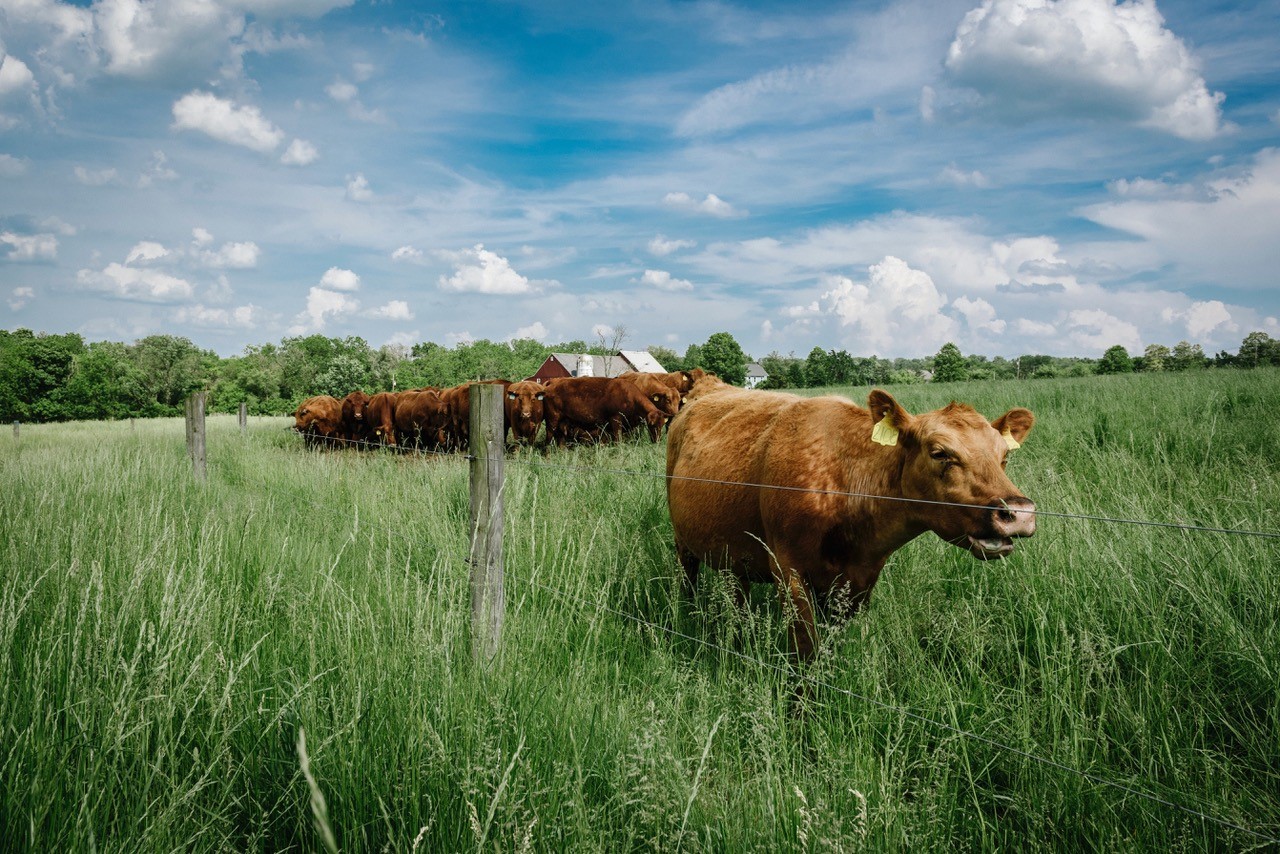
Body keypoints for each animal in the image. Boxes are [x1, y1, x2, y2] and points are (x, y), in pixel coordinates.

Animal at [666, 388, 1036, 661]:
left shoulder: (860, 578)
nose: (1019, 512)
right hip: (683, 541)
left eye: (1004, 456)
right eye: (939, 453)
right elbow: (806, 647)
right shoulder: (788, 570)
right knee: (687, 576)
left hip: (735, 552)